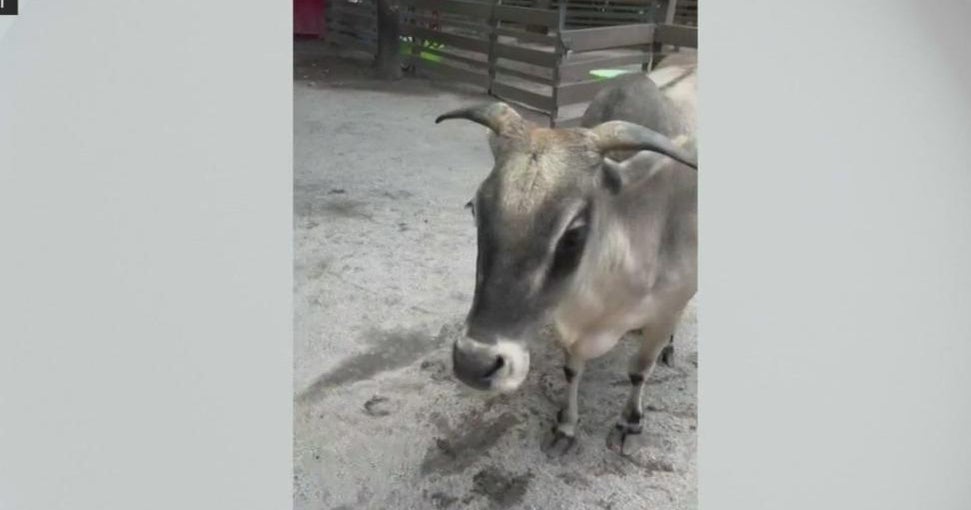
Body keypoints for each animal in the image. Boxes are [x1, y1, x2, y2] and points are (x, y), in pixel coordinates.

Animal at [436, 100, 697, 455]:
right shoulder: (568, 323)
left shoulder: (665, 312)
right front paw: (566, 426)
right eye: (475, 208)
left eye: (573, 233)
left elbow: (639, 370)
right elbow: (572, 371)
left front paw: (629, 422)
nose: (473, 363)